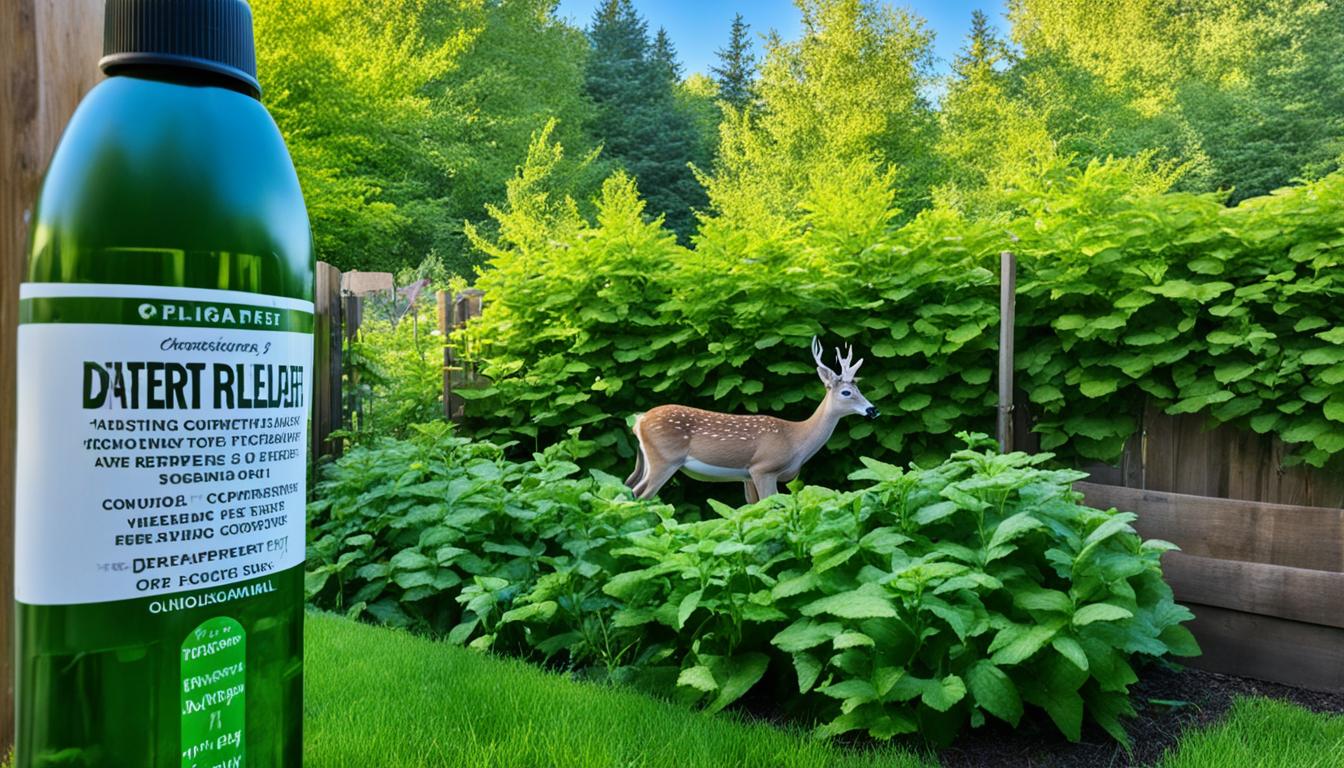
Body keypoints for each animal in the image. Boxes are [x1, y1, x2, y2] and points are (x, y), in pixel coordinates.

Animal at [625, 337, 878, 503]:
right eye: (846, 392)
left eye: (860, 388)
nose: (873, 410)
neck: (796, 439)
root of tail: (639, 421)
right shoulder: (764, 467)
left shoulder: (745, 476)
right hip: (665, 458)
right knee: (641, 494)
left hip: (645, 459)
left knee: (628, 487)